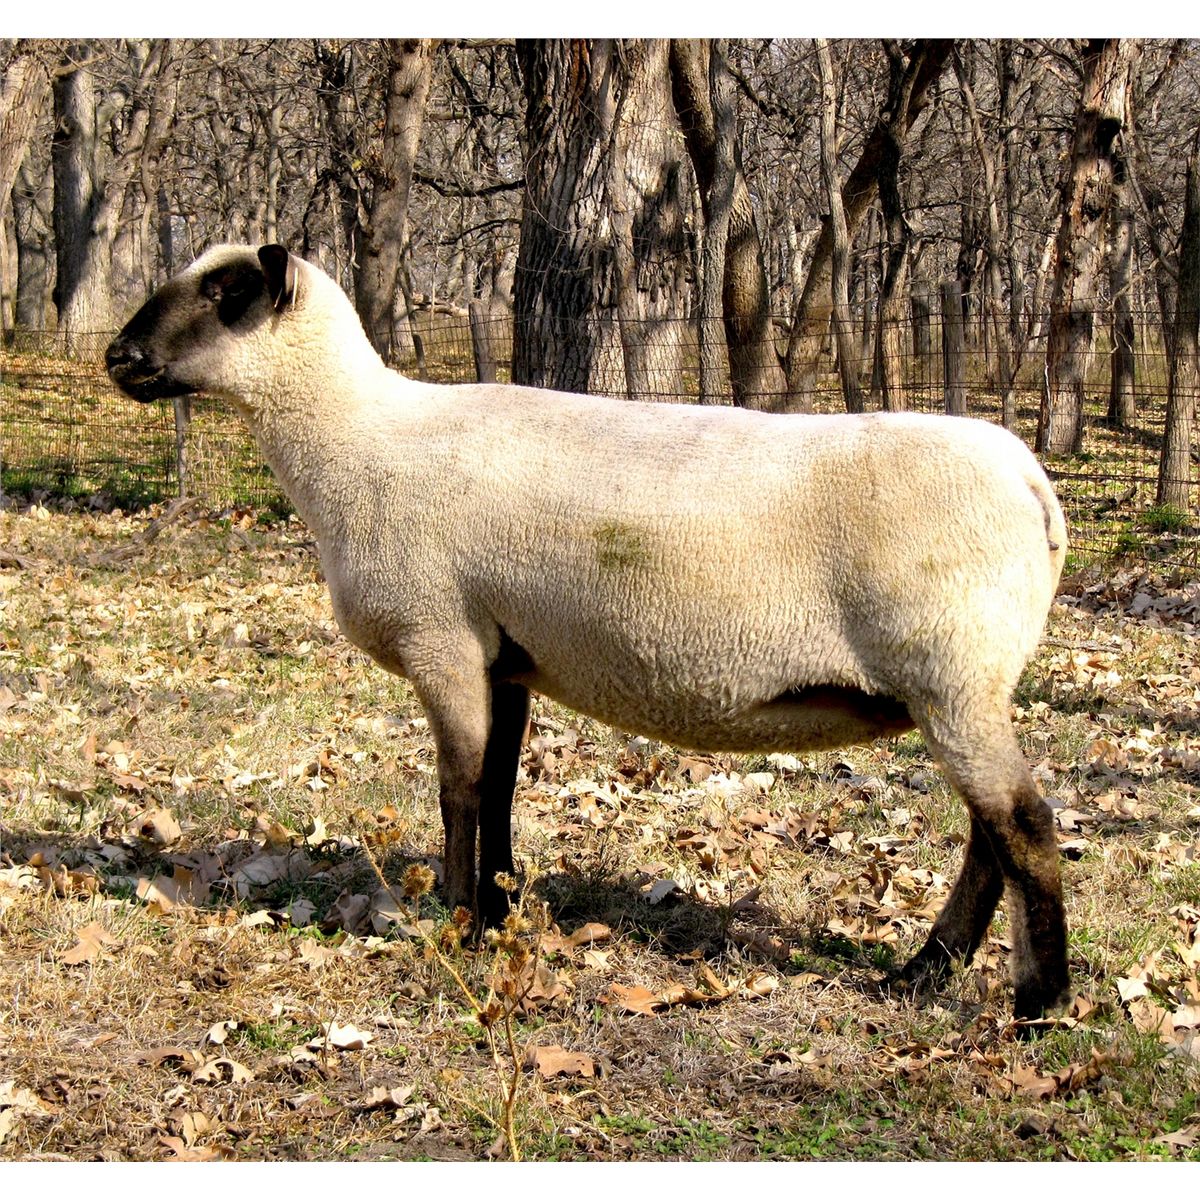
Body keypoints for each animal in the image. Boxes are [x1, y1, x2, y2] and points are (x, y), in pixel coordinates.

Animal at [106, 243, 1071, 1021]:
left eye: (225, 292)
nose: (118, 356)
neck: (358, 442)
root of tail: (1031, 481)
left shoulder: (440, 638)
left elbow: (459, 788)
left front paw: (456, 924)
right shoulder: (501, 654)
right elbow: (498, 786)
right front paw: (497, 911)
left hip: (950, 668)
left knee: (1020, 822)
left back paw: (1037, 1002)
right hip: (960, 680)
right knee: (989, 834)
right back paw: (926, 972)